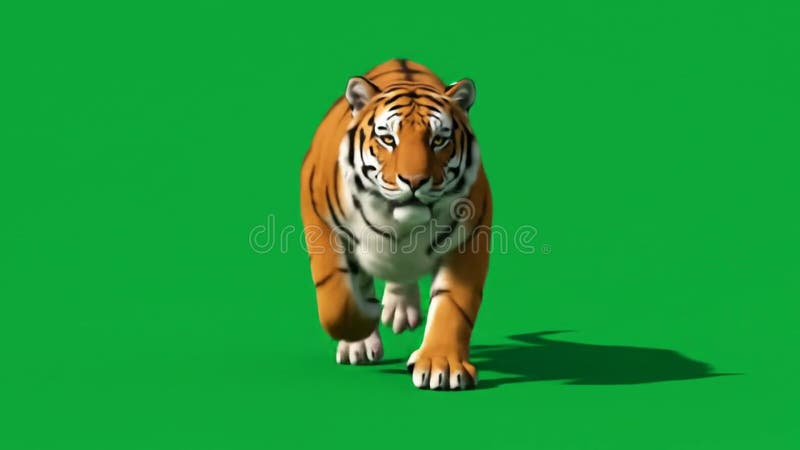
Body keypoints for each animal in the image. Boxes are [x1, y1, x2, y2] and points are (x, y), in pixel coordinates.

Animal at [300, 59, 492, 390]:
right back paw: (360, 342)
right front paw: (366, 316)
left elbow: (454, 304)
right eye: (388, 139)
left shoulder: (473, 232)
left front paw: (442, 364)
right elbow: (337, 304)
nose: (414, 181)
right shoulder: (319, 219)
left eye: (438, 140)